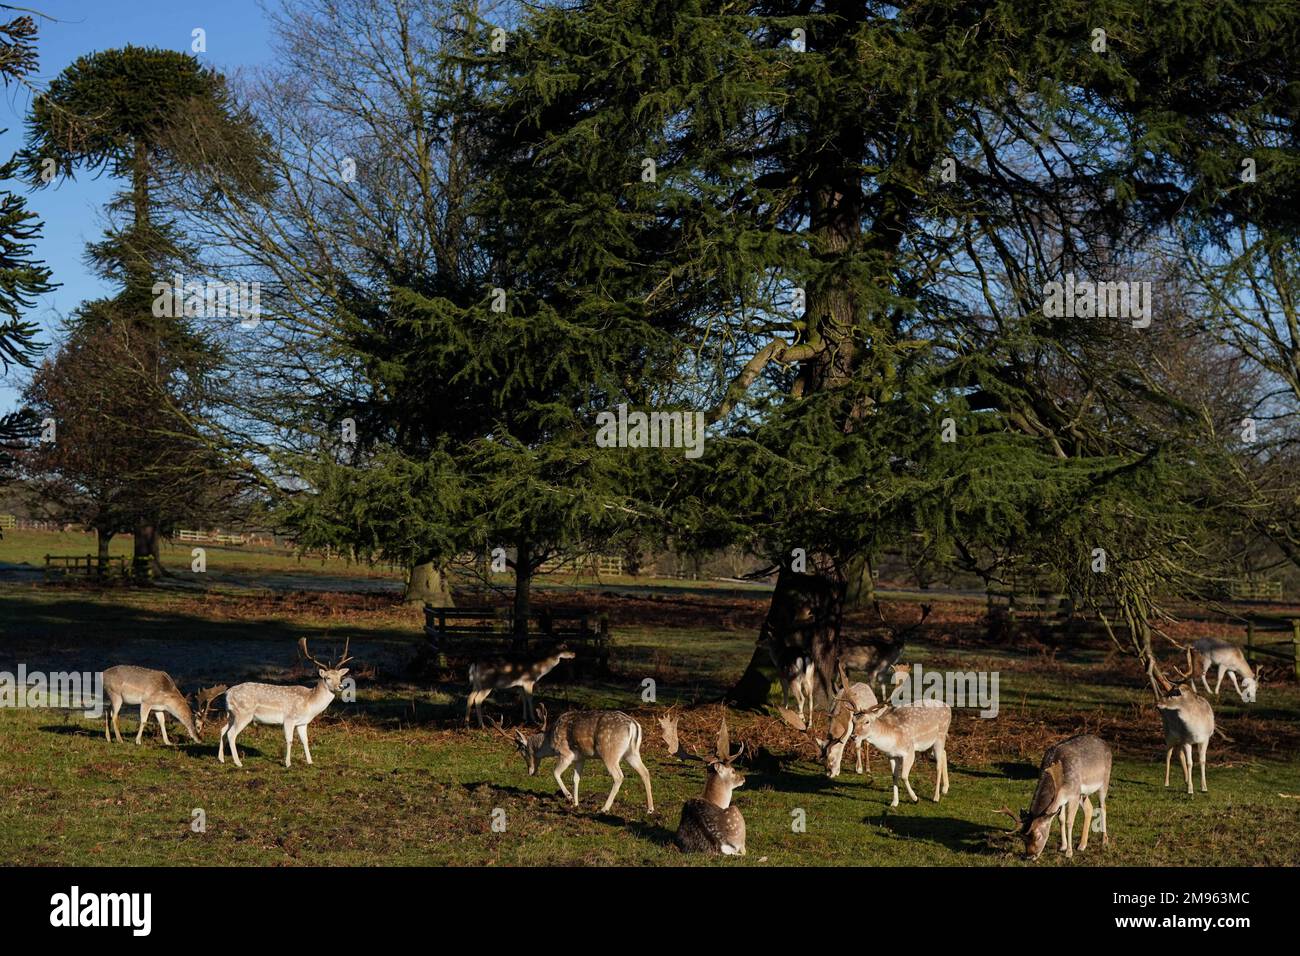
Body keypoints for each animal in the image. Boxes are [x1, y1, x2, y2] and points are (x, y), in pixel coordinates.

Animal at [217, 637, 352, 768]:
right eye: (327, 677)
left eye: (340, 677)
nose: (341, 686)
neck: (309, 703)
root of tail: (227, 693)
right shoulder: (289, 719)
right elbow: (289, 740)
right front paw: (288, 763)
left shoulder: (302, 723)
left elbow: (305, 741)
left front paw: (310, 762)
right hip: (243, 714)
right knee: (231, 734)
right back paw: (238, 763)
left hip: (231, 714)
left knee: (223, 730)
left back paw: (221, 759)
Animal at [491, 704, 653, 814]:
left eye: (522, 751)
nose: (530, 772)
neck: (549, 742)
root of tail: (634, 725)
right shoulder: (580, 758)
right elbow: (575, 778)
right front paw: (575, 804)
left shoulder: (566, 754)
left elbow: (555, 773)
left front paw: (569, 797)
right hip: (632, 753)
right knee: (645, 772)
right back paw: (650, 809)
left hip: (609, 752)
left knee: (619, 776)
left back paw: (604, 808)